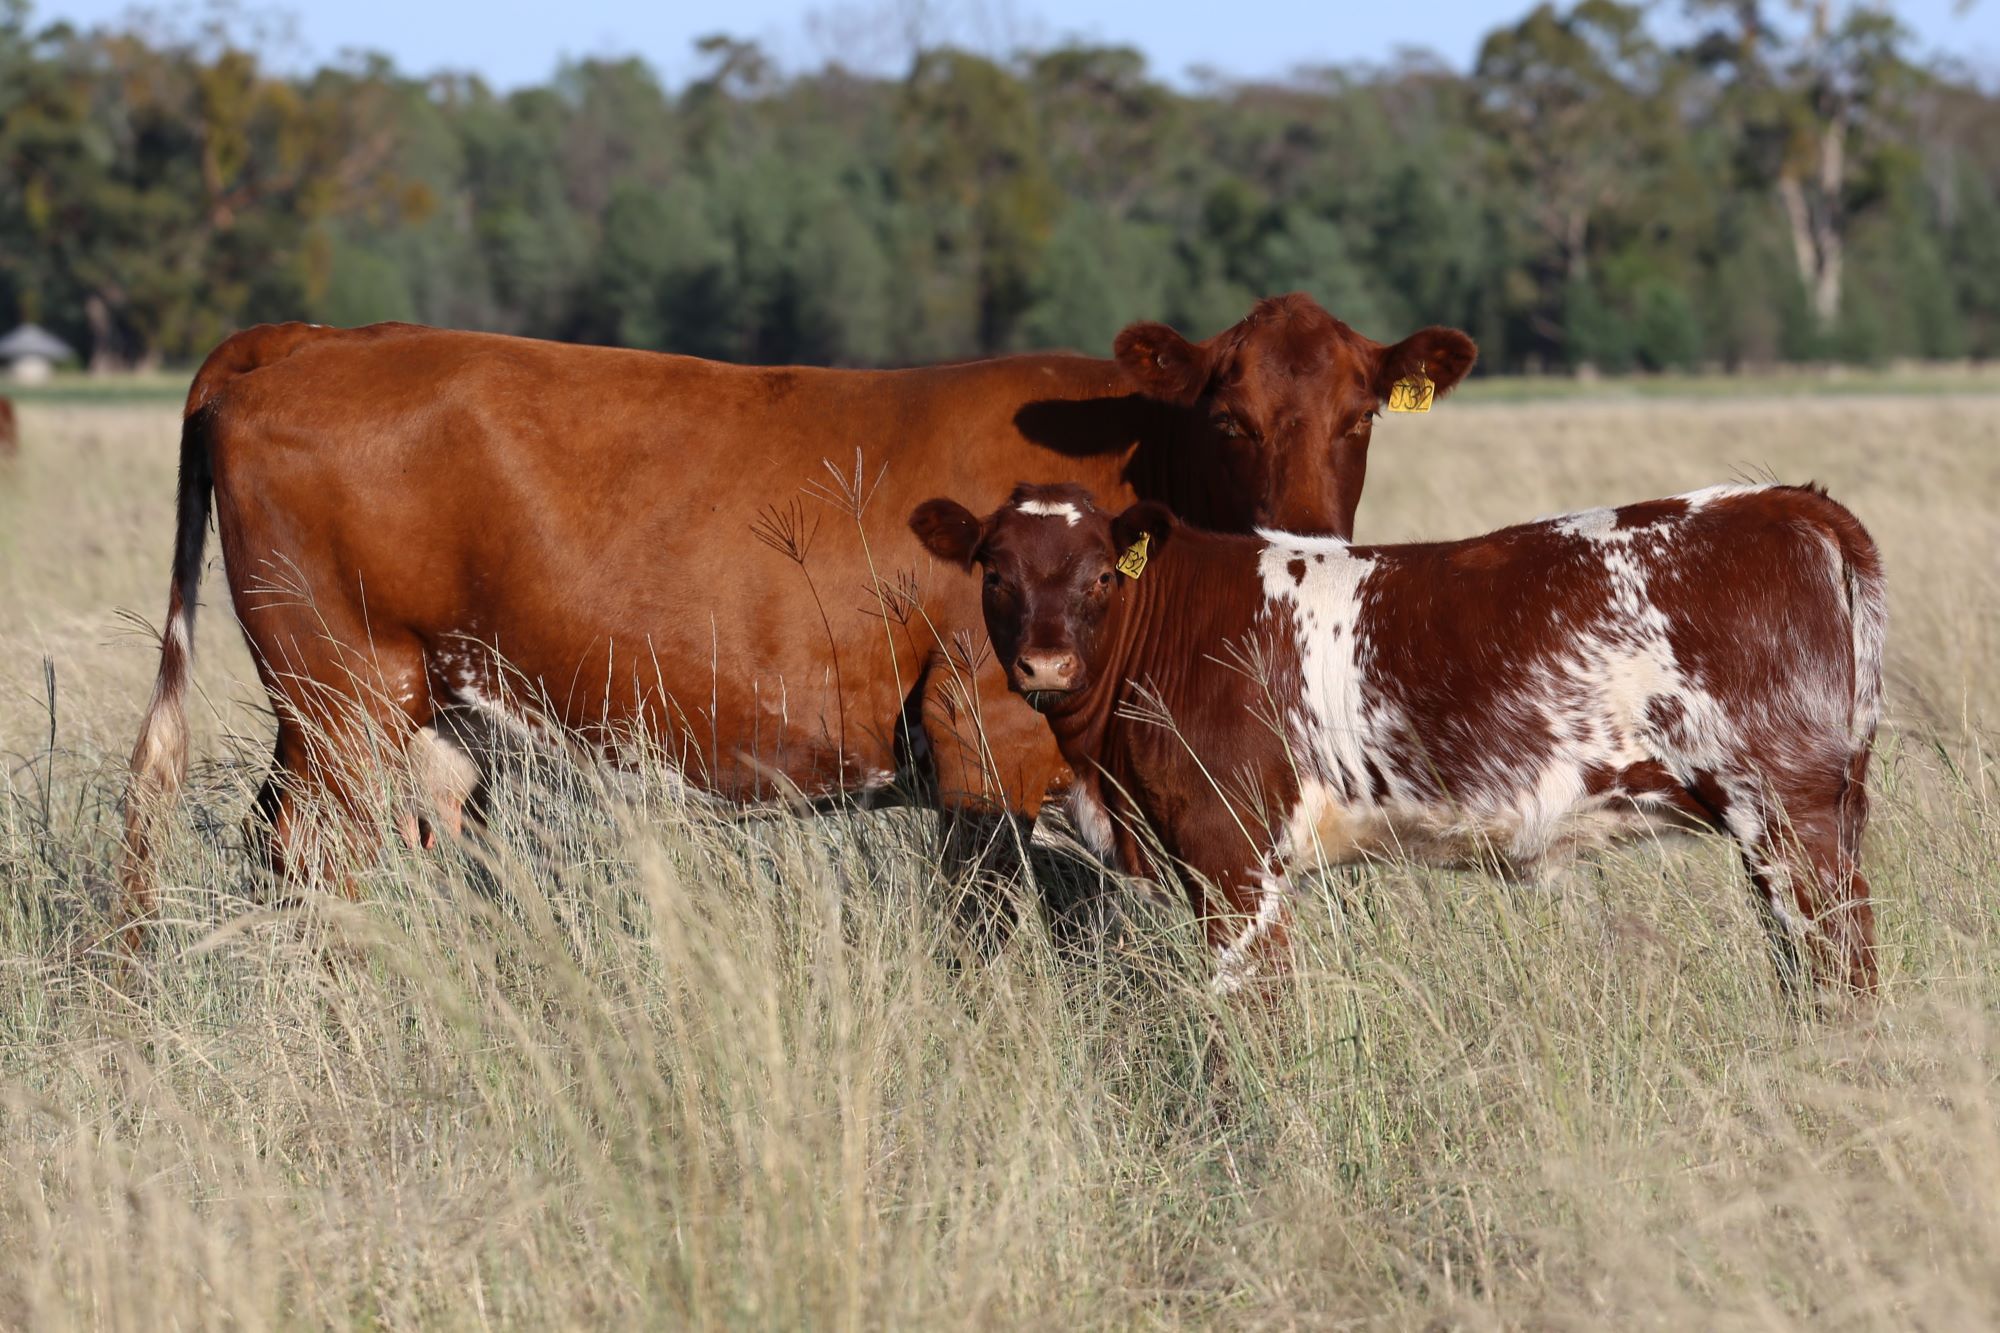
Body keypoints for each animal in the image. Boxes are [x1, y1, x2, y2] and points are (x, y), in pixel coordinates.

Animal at [118, 298, 1477, 927]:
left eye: (1358, 414)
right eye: (1228, 416)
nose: (1307, 536)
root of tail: (321, 338)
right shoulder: (991, 743)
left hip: (413, 711)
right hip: (340, 691)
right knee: (309, 856)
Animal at [908, 481, 1885, 1001]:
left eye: (1103, 576)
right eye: (995, 574)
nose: (1045, 662)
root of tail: (1776, 501)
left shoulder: (1232, 856)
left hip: (1788, 814)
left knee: (1841, 965)